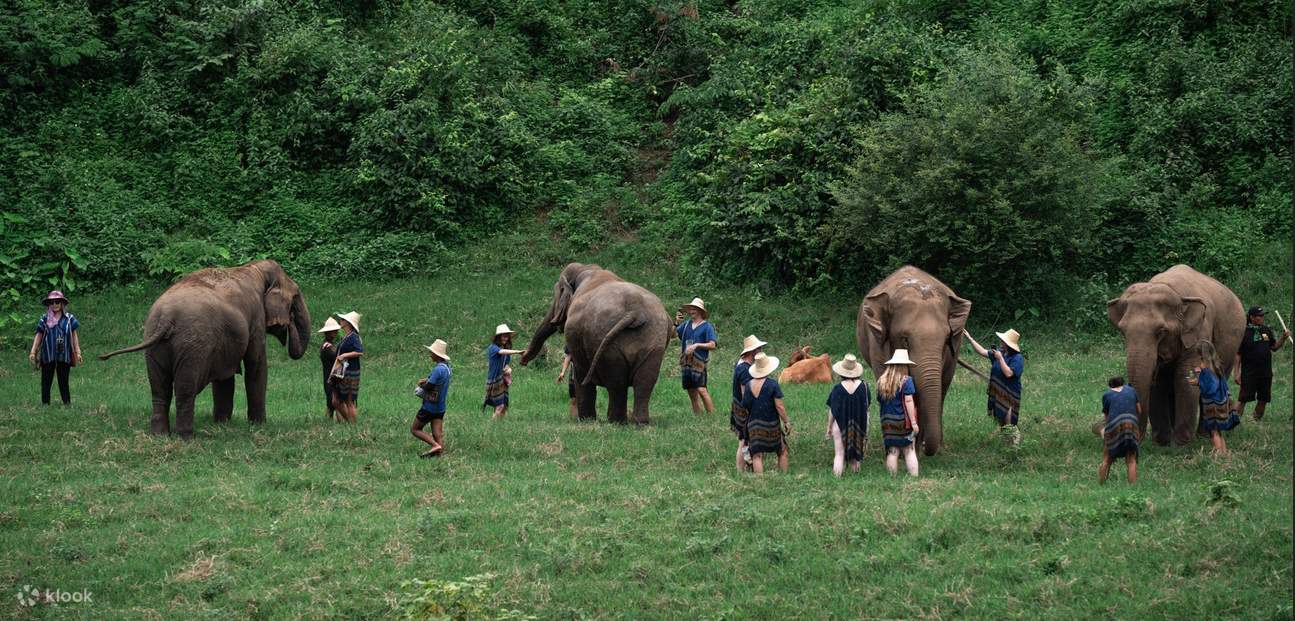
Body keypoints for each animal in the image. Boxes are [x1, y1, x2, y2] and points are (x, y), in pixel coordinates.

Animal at [100, 260, 311, 437]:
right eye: (296, 296)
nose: (289, 322)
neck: (254, 268)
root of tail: (167, 318)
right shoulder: (256, 317)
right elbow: (256, 364)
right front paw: (259, 426)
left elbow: (225, 376)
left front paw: (222, 424)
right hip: (193, 345)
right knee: (185, 389)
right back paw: (185, 436)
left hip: (154, 344)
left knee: (159, 389)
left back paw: (159, 435)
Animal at [519, 263, 671, 424]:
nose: (522, 360)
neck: (587, 268)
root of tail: (635, 311)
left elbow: (580, 375)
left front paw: (586, 420)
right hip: (654, 340)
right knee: (644, 382)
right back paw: (639, 423)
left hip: (605, 344)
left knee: (616, 383)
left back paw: (616, 422)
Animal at [1106, 264, 1244, 446]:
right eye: (1122, 331)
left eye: (1161, 331)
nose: (1137, 440)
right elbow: (1158, 383)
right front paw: (1162, 442)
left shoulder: (1199, 331)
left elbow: (1185, 377)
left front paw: (1181, 444)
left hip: (1232, 344)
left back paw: (1204, 435)